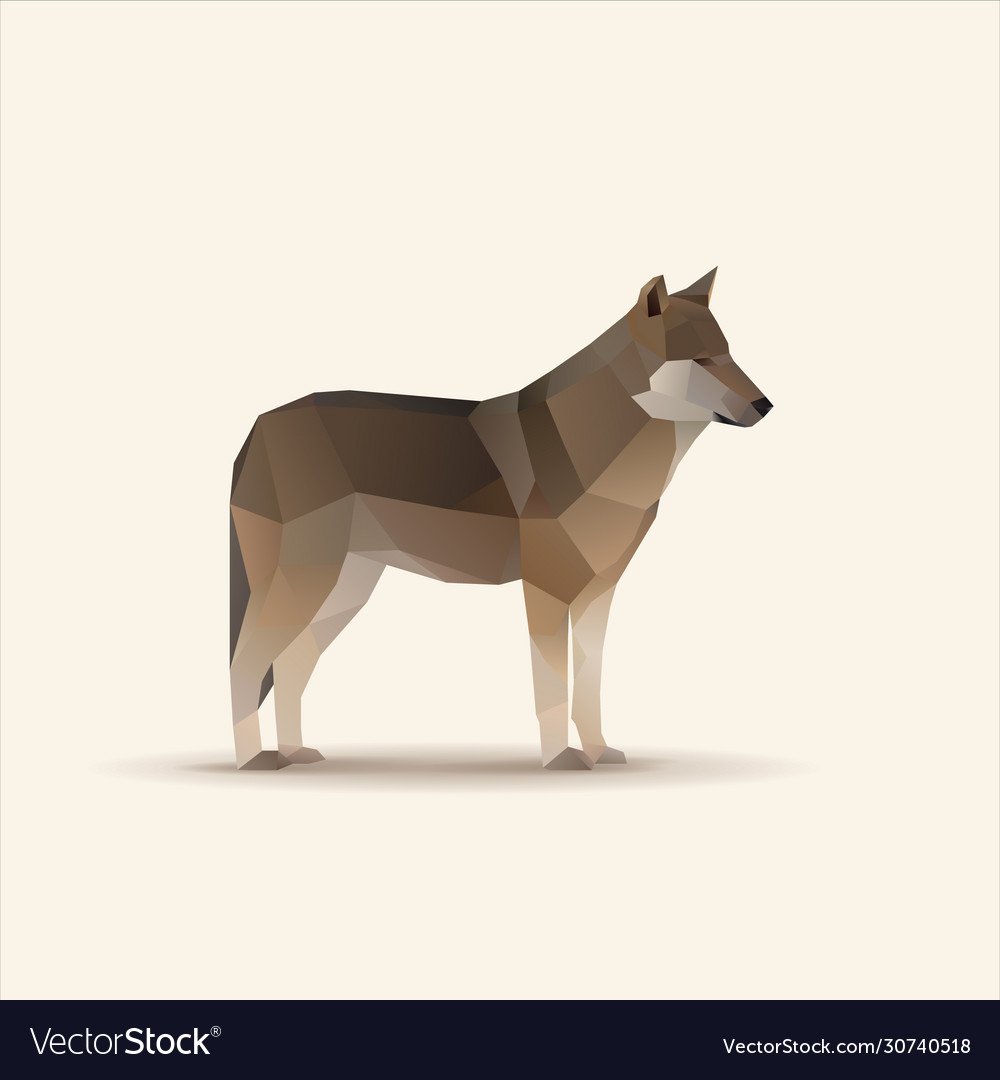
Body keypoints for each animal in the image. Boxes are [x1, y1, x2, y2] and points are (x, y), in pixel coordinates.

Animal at [229, 269, 771, 770]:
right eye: (700, 359)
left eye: (728, 353)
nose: (765, 405)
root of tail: (257, 427)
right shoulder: (546, 591)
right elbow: (553, 686)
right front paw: (560, 758)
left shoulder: (598, 595)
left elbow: (590, 683)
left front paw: (597, 751)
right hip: (305, 585)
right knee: (244, 665)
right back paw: (252, 759)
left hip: (341, 595)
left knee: (289, 666)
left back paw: (295, 753)